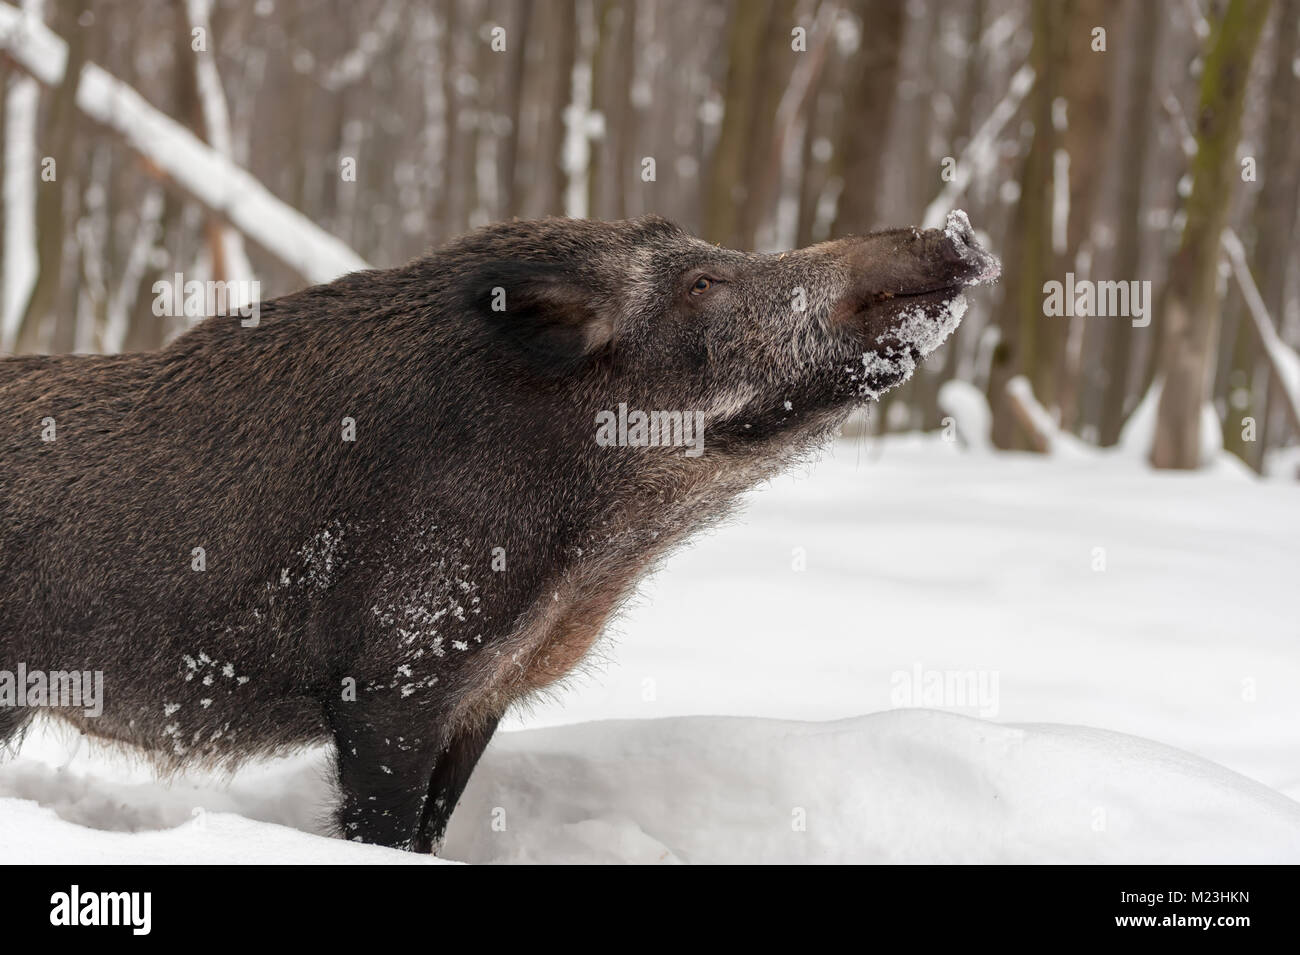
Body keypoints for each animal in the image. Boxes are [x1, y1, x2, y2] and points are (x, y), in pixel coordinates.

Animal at [0, 211, 999, 852]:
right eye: (704, 282)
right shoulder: (395, 674)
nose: (954, 231)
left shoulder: (485, 694)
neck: (603, 546)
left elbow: (434, 828)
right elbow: (384, 828)